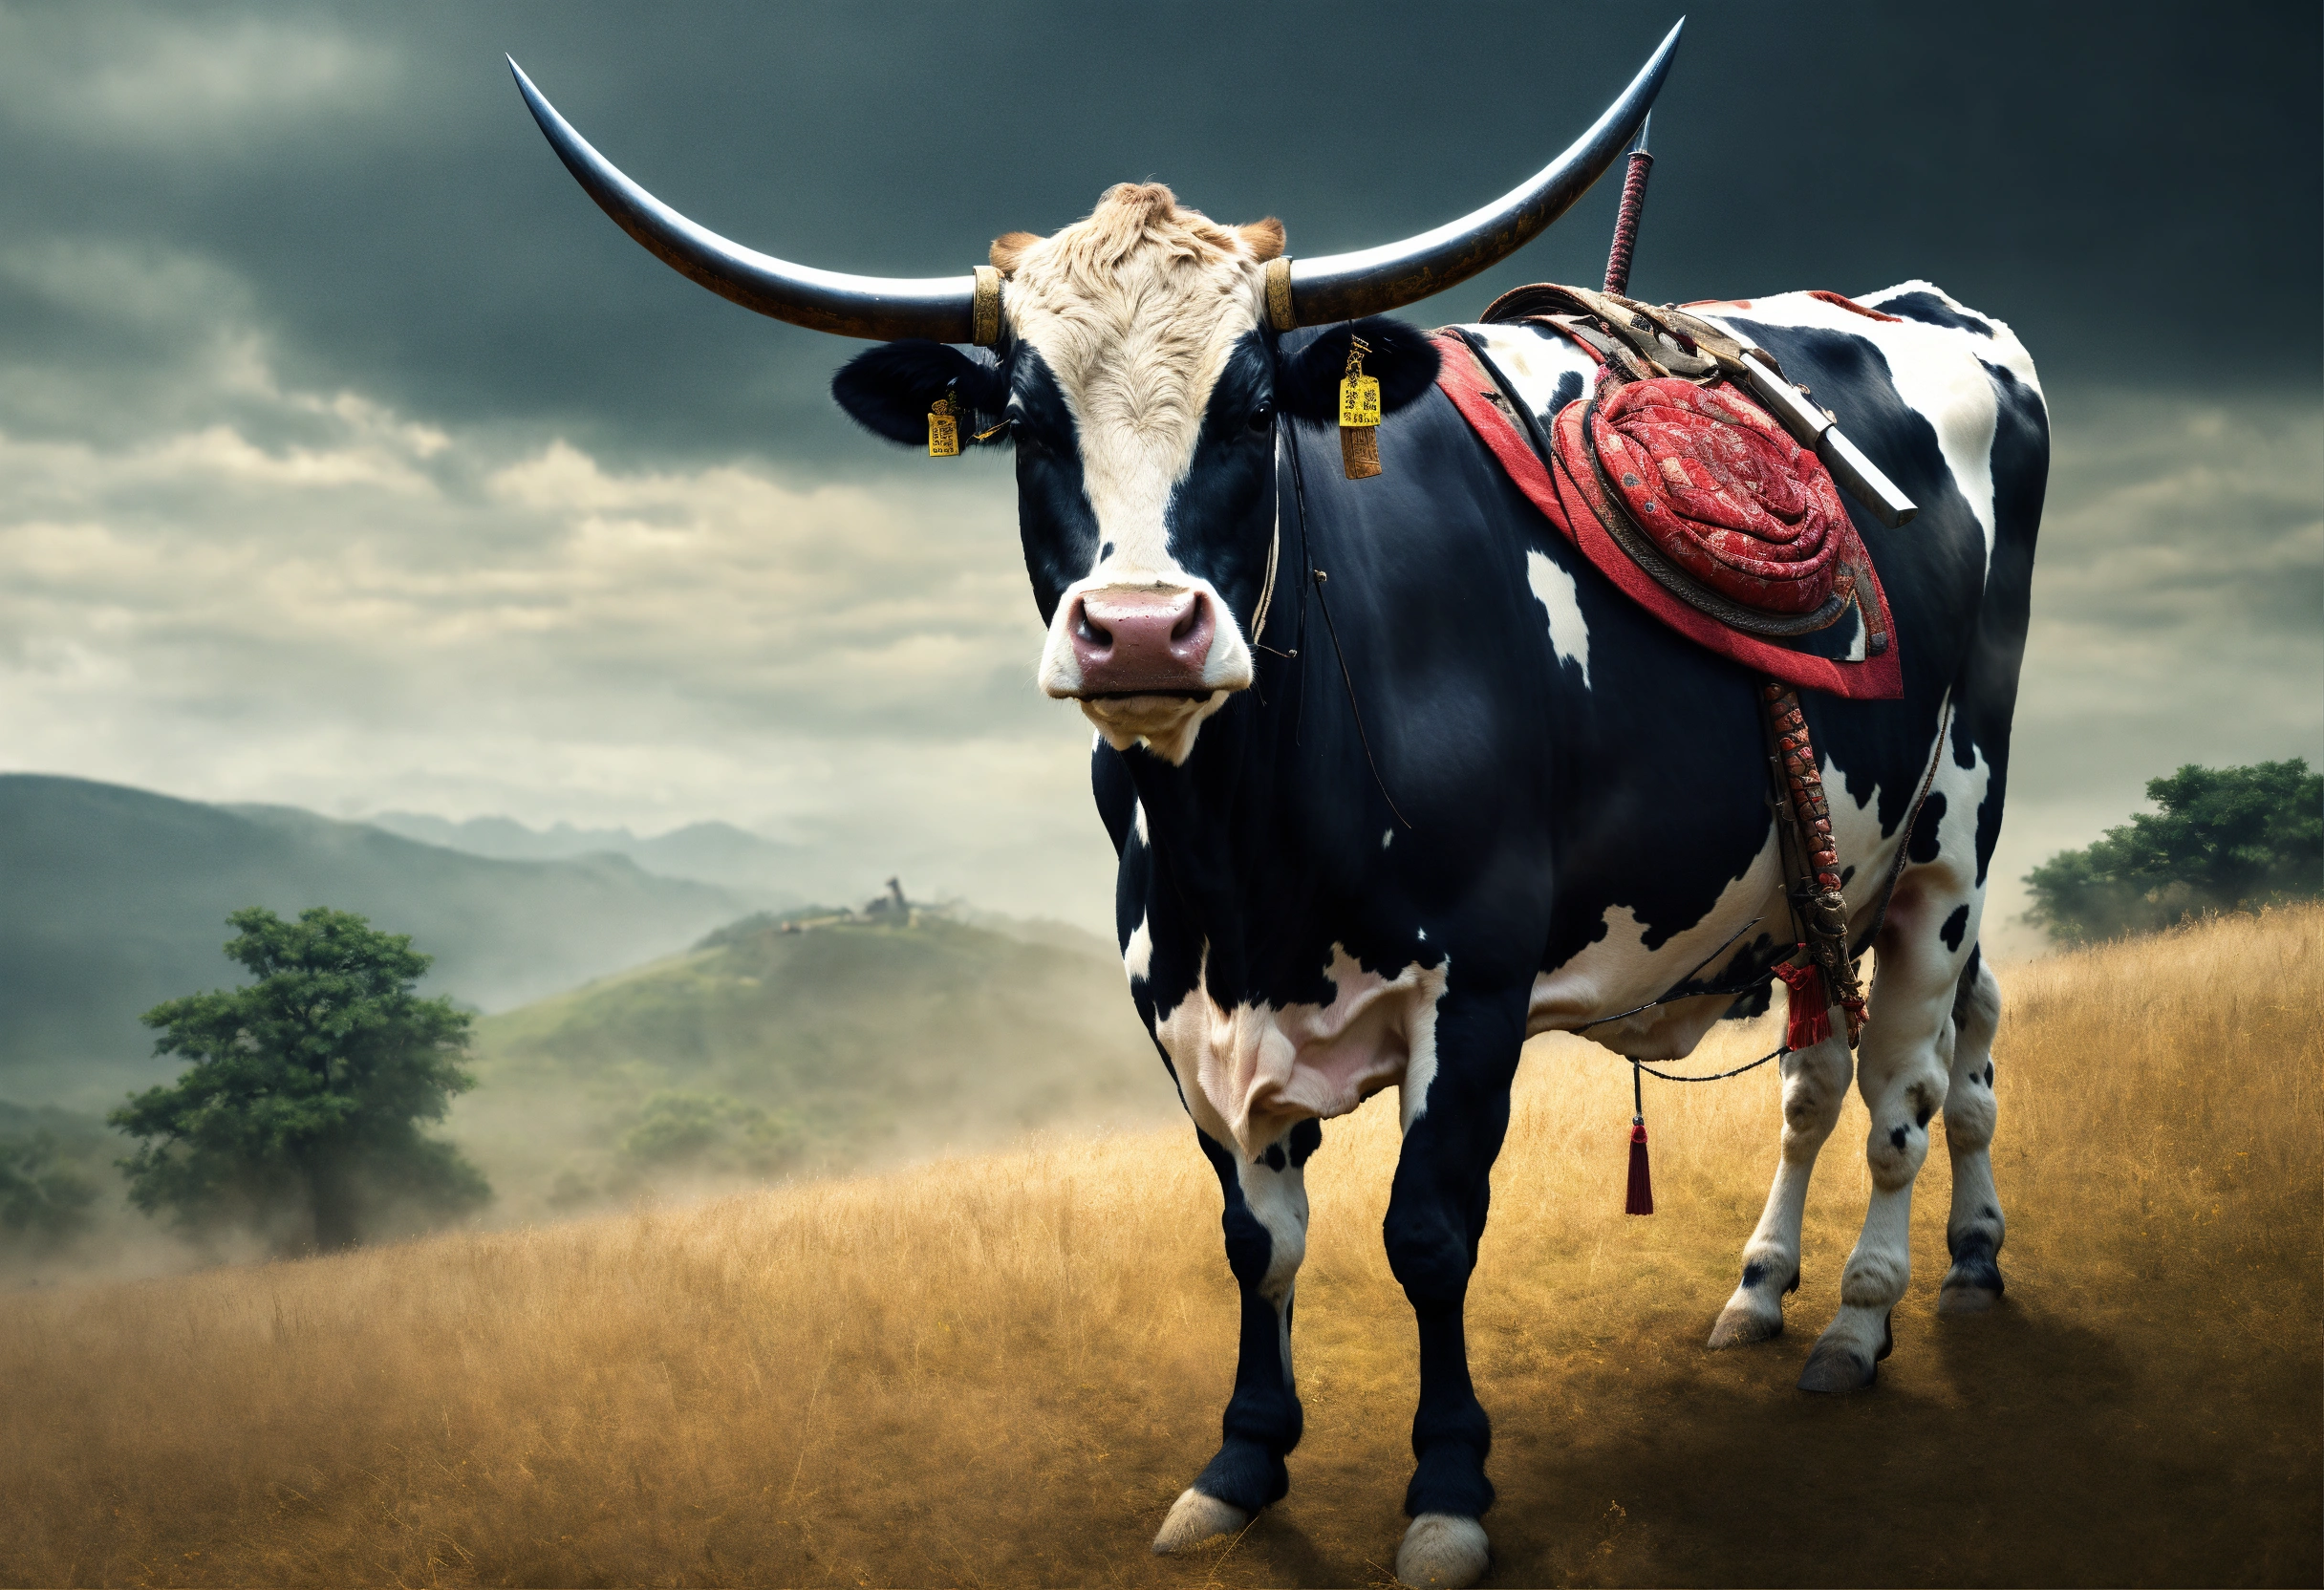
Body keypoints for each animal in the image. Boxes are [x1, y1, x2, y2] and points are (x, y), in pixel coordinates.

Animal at [513, 25, 2048, 1585]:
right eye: (1022, 421)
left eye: (1251, 408)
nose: (1139, 631)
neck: (1239, 857)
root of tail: (1925, 311)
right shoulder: (1181, 1003)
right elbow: (1256, 1241)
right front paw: (1242, 1464)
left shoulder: (1474, 984)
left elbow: (1428, 1232)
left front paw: (1447, 1486)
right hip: (1829, 870)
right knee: (1843, 1073)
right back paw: (1811, 1278)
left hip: (1950, 832)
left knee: (1904, 1086)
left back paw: (1861, 1311)